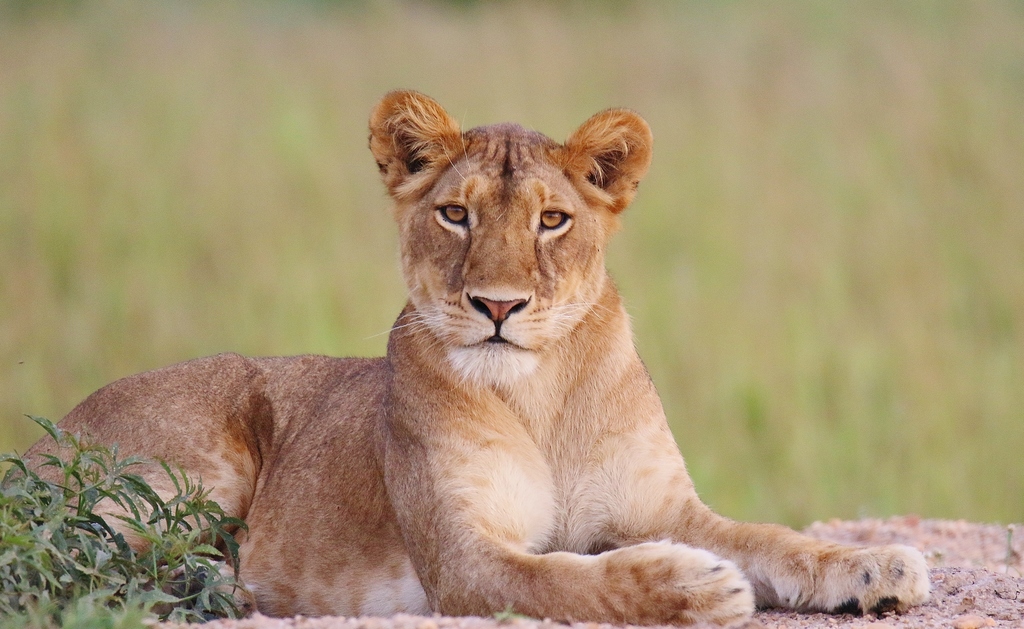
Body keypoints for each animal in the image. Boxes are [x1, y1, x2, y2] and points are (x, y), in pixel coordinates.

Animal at [27, 90, 929, 625]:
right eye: (455, 214)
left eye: (552, 221)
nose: (498, 306)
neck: (540, 388)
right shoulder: (462, 558)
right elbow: (569, 577)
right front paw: (693, 585)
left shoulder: (667, 505)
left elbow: (773, 538)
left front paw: (877, 563)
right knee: (85, 565)